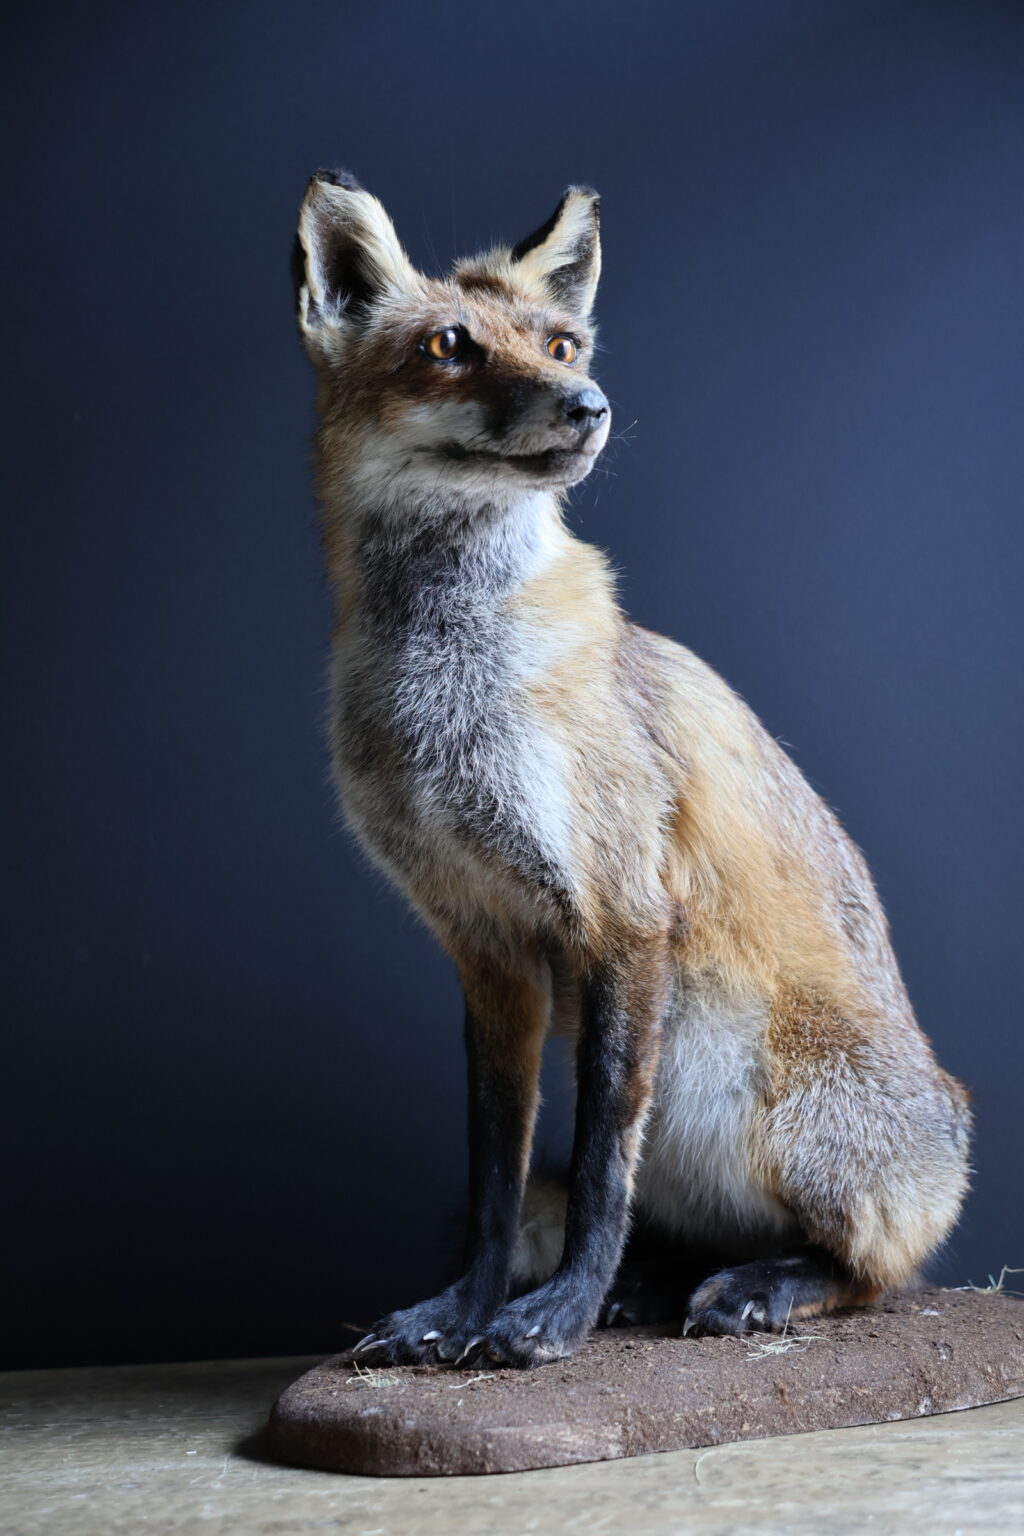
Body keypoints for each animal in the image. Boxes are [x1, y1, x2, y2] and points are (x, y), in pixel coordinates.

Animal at [291, 169, 971, 1368]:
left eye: (562, 344)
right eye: (449, 346)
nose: (588, 404)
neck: (447, 699)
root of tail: (955, 1117)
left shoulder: (623, 913)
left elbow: (603, 1164)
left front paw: (550, 1319)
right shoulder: (486, 950)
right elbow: (498, 1179)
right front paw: (463, 1314)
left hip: (788, 1116)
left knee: (879, 1269)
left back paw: (756, 1288)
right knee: (659, 1233)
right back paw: (647, 1289)